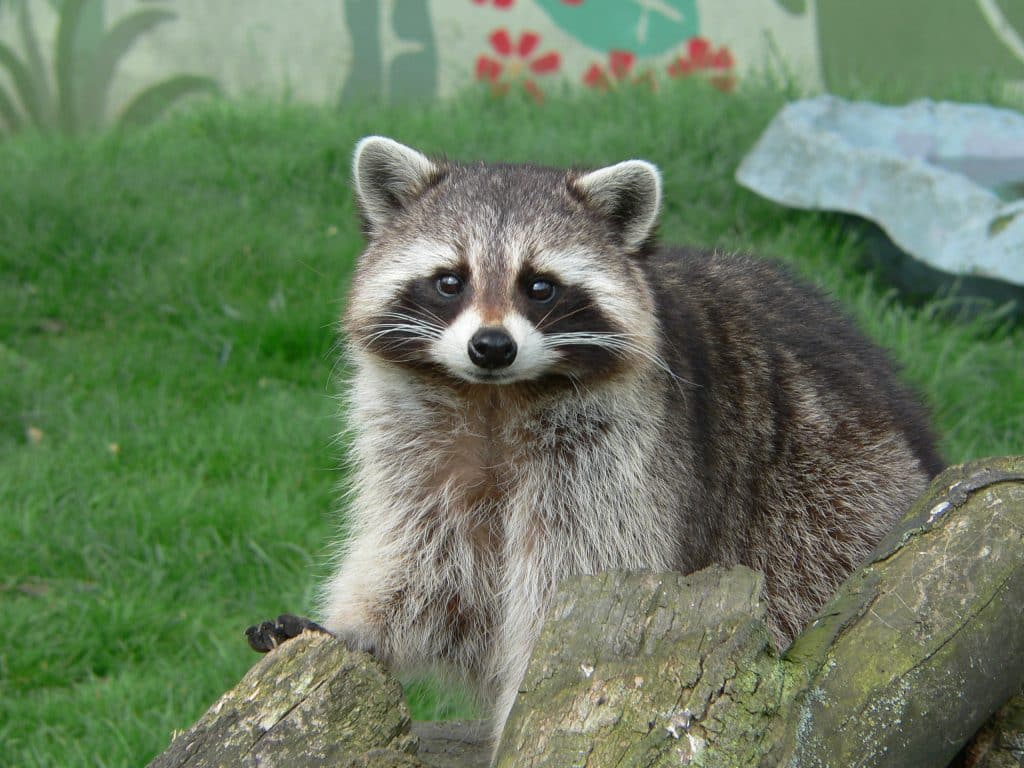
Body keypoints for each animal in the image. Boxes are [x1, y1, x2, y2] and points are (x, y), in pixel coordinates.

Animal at [249, 136, 943, 742]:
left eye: (539, 286)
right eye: (450, 280)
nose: (491, 346)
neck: (494, 397)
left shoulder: (617, 458)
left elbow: (574, 580)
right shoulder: (417, 447)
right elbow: (428, 565)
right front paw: (357, 628)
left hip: (830, 497)